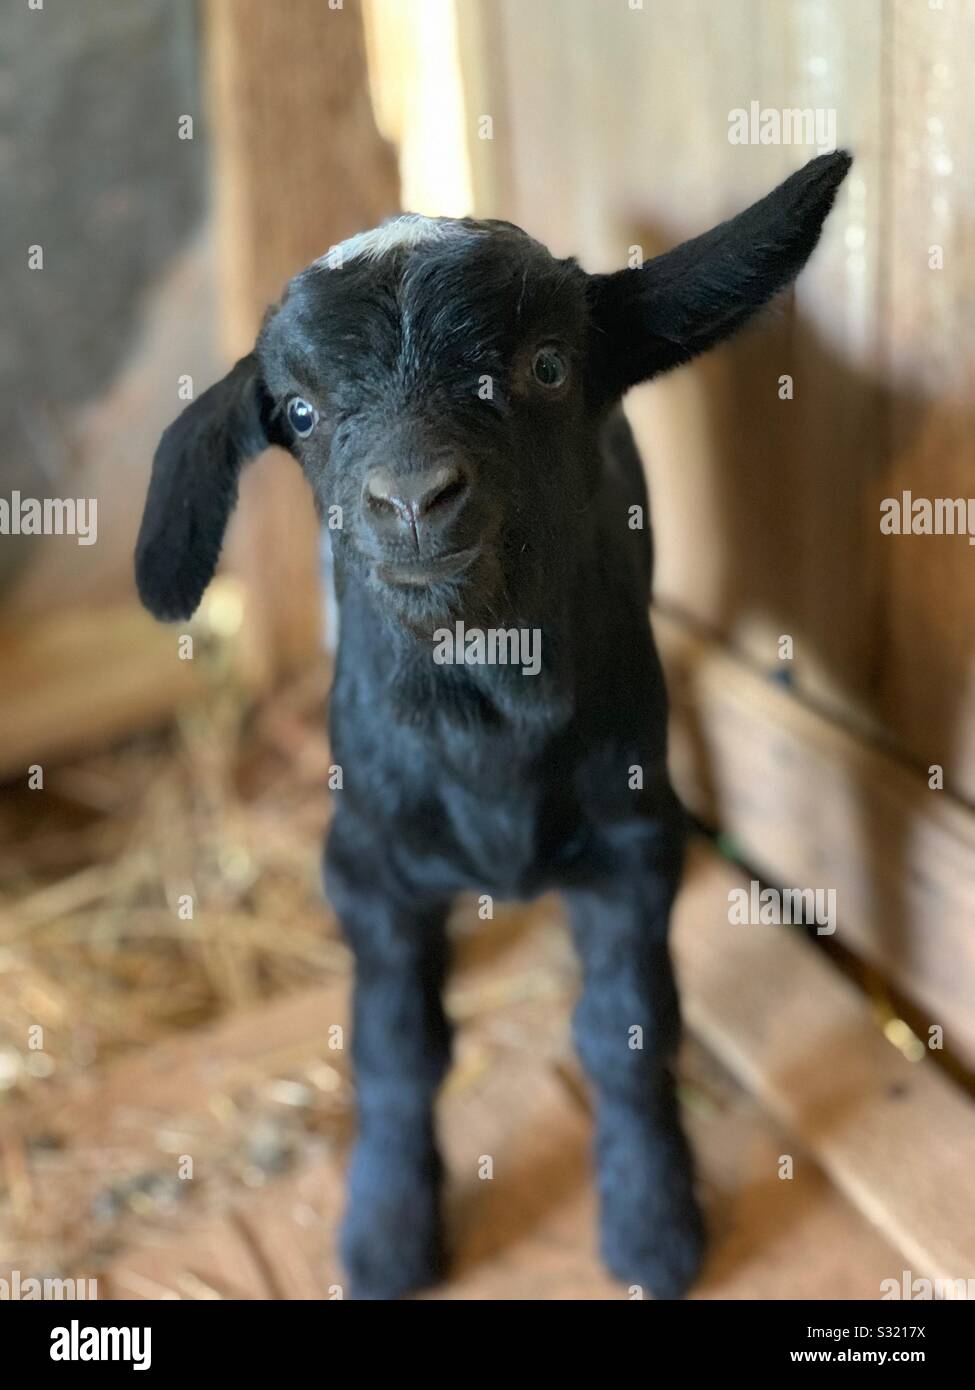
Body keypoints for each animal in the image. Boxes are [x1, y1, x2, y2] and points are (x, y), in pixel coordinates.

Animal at [135, 150, 852, 1299]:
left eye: (548, 367)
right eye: (299, 411)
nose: (411, 498)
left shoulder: (632, 846)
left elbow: (624, 1030)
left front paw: (653, 1222)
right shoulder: (365, 861)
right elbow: (395, 1048)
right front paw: (385, 1234)